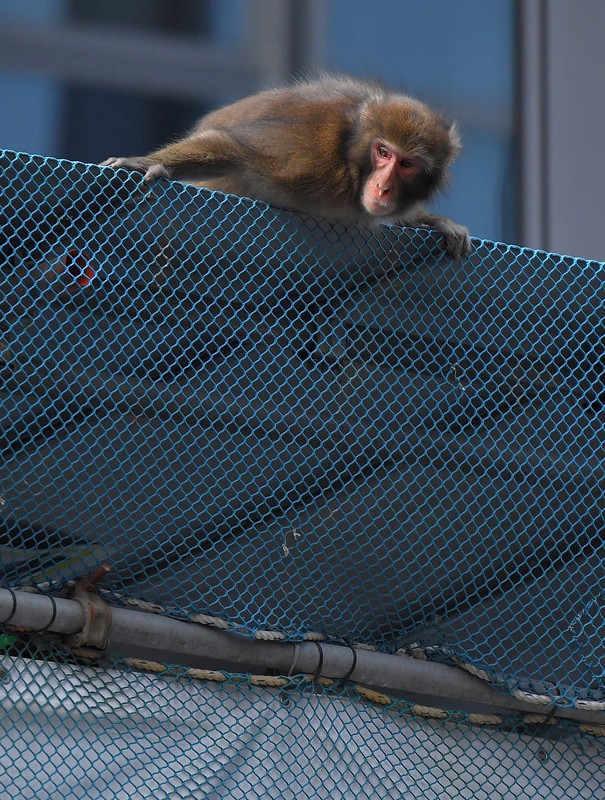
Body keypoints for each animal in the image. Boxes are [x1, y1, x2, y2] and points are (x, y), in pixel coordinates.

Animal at [101, 74, 471, 258]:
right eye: (383, 152)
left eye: (406, 163)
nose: (383, 186)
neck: (351, 164)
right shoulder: (312, 159)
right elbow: (232, 148)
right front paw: (147, 162)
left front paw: (435, 221)